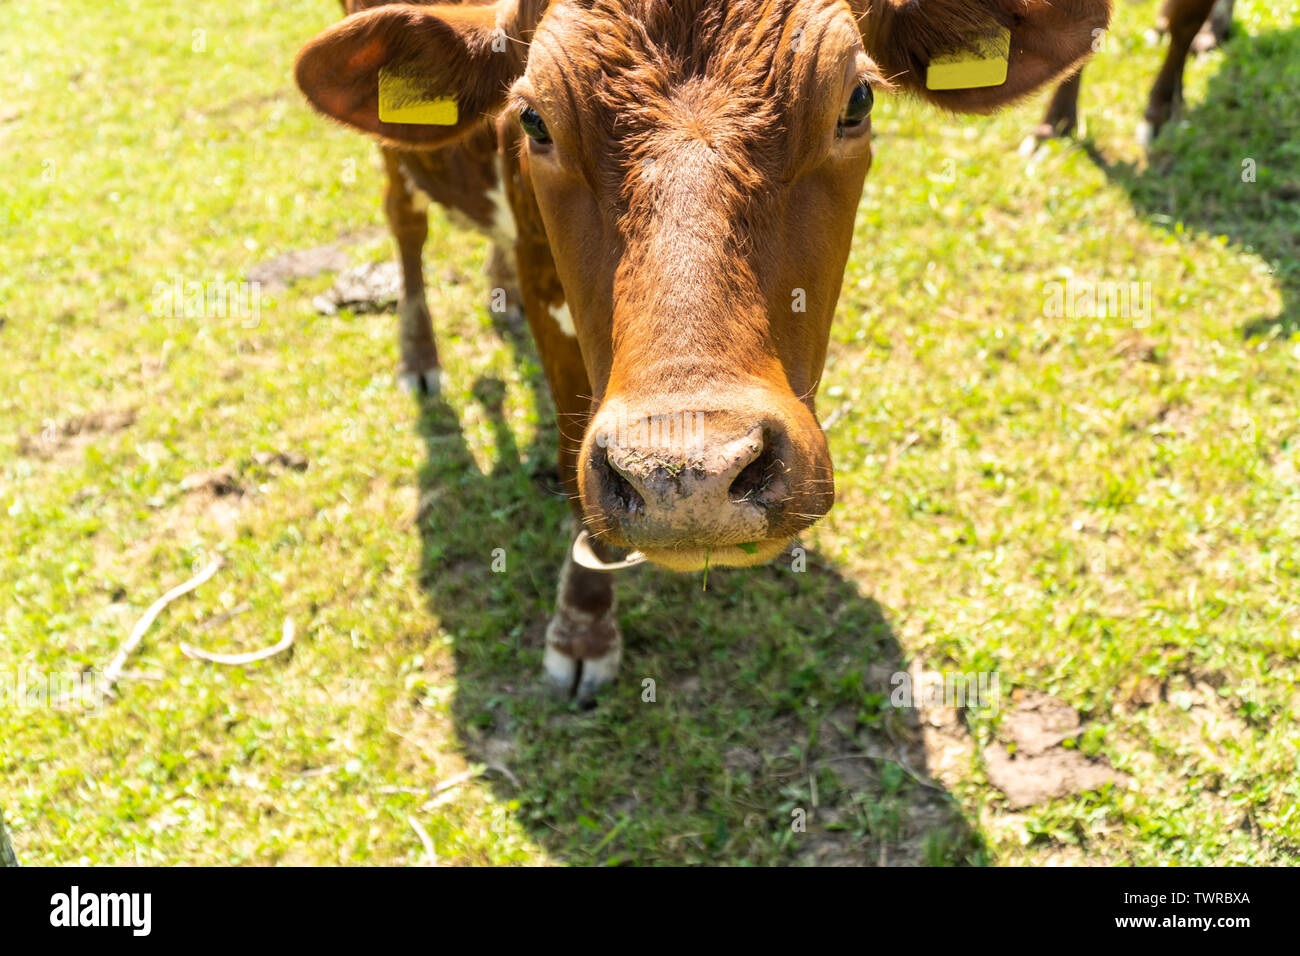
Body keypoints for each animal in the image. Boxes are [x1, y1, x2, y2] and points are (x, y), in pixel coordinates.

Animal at [296, 0, 1112, 701]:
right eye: (532, 119)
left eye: (857, 102)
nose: (688, 480)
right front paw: (583, 628)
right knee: (404, 222)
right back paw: (419, 356)